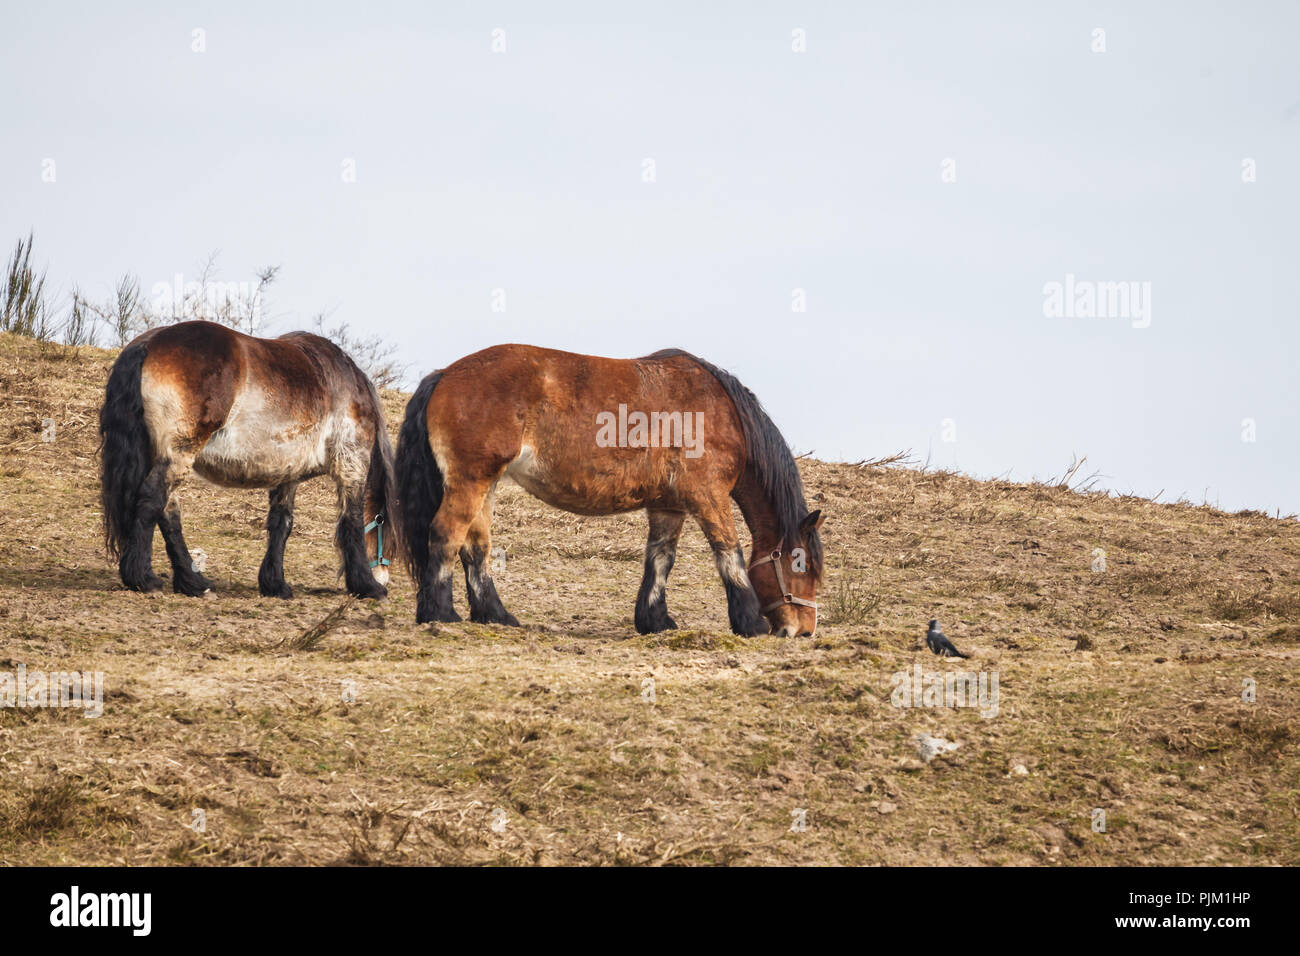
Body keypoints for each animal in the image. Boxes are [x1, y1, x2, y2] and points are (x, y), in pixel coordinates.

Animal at [98, 320, 398, 599]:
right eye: (385, 526)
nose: (383, 579)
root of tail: (149, 343)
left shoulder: (288, 474)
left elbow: (281, 524)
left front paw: (275, 584)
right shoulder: (352, 464)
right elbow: (352, 521)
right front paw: (366, 585)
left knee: (168, 513)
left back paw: (194, 583)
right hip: (179, 453)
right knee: (152, 501)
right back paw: (144, 578)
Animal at [394, 345, 823, 637]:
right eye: (800, 565)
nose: (803, 630)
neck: (719, 412)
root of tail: (445, 374)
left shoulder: (668, 507)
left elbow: (660, 560)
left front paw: (655, 620)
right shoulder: (708, 497)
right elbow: (728, 553)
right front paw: (750, 622)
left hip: (486, 484)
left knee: (475, 547)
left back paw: (495, 616)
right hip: (471, 481)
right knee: (446, 534)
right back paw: (440, 613)